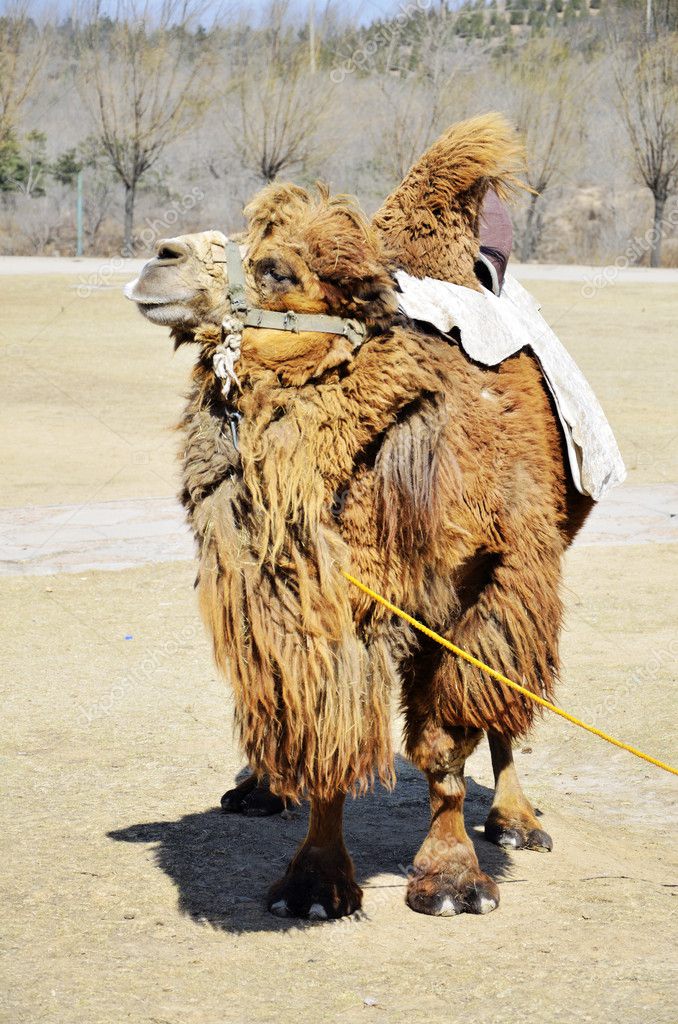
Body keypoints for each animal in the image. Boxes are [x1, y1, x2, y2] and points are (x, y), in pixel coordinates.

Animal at [125, 114, 596, 921]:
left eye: (279, 269)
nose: (160, 259)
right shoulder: (326, 594)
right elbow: (328, 731)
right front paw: (314, 885)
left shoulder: (476, 583)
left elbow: (445, 745)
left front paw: (453, 881)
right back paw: (258, 789)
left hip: (525, 578)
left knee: (507, 702)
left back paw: (516, 819)